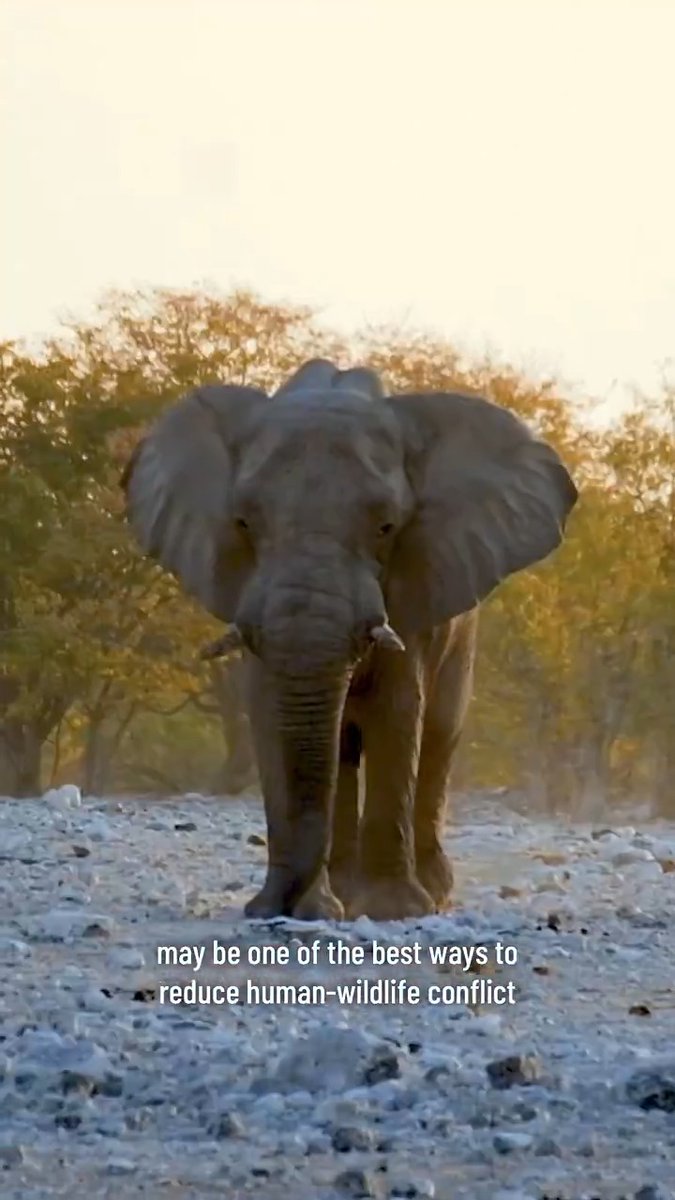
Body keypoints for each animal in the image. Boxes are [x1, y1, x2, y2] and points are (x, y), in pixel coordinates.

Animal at [121, 358, 578, 922]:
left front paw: (390, 910)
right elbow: (271, 712)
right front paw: (307, 909)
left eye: (386, 526)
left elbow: (398, 710)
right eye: (243, 522)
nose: (274, 906)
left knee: (438, 735)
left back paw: (431, 895)